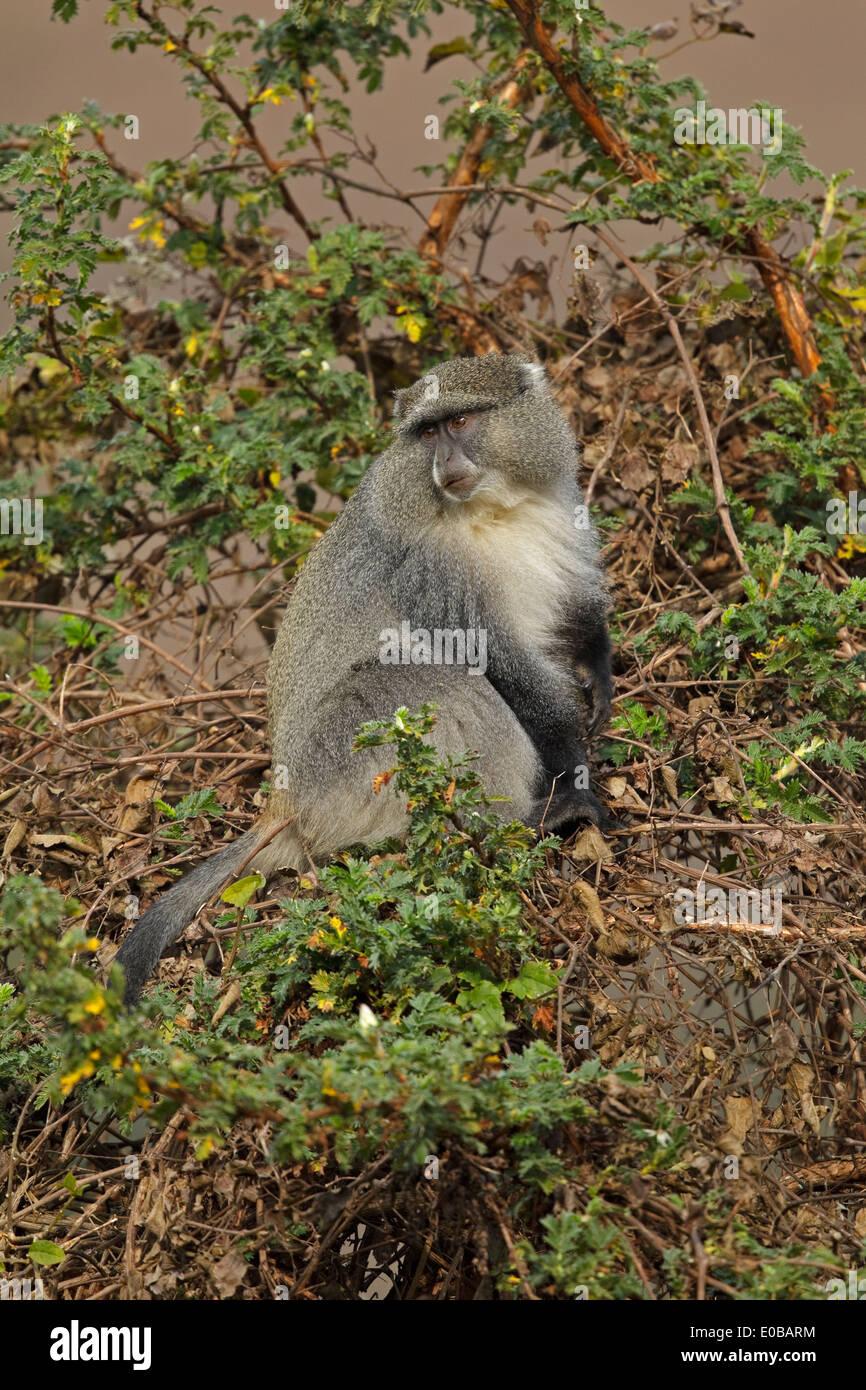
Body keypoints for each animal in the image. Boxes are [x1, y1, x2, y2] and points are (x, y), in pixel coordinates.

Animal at [114, 354, 612, 1005]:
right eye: (426, 433)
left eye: (461, 421)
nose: (445, 463)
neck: (494, 509)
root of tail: (286, 799)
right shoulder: (432, 571)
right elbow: (505, 669)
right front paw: (575, 780)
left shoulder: (558, 505)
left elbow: (576, 607)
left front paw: (598, 670)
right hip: (341, 764)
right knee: (430, 676)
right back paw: (515, 824)